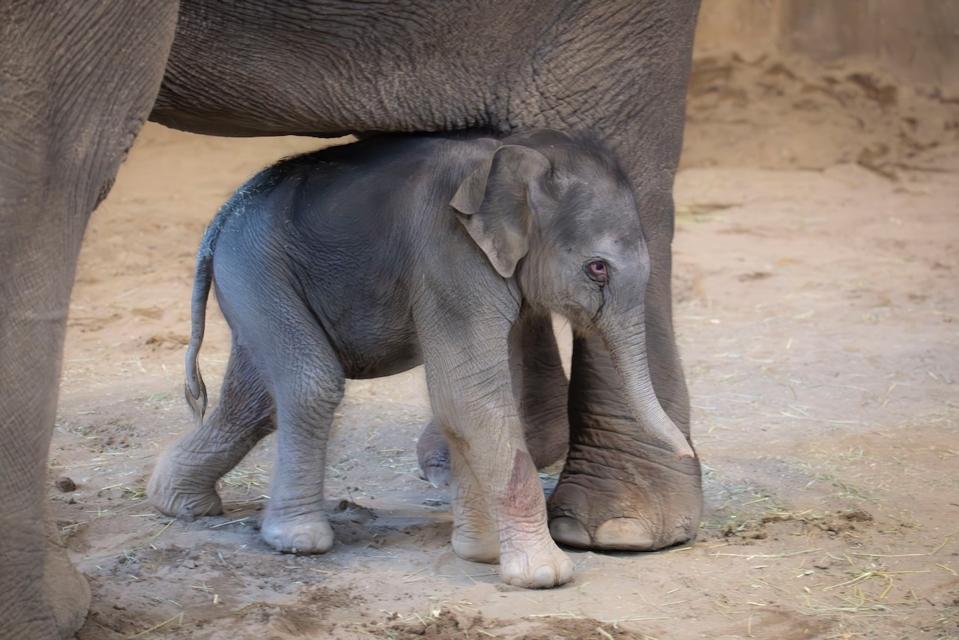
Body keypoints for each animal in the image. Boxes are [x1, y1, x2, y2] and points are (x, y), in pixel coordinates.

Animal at [146, 130, 694, 589]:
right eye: (597, 268)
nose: (687, 452)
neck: (514, 152)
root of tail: (222, 216)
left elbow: (470, 400)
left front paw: (481, 554)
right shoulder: (451, 258)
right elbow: (469, 396)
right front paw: (544, 575)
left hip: (253, 278)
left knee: (255, 401)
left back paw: (181, 504)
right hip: (258, 268)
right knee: (310, 384)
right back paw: (299, 541)